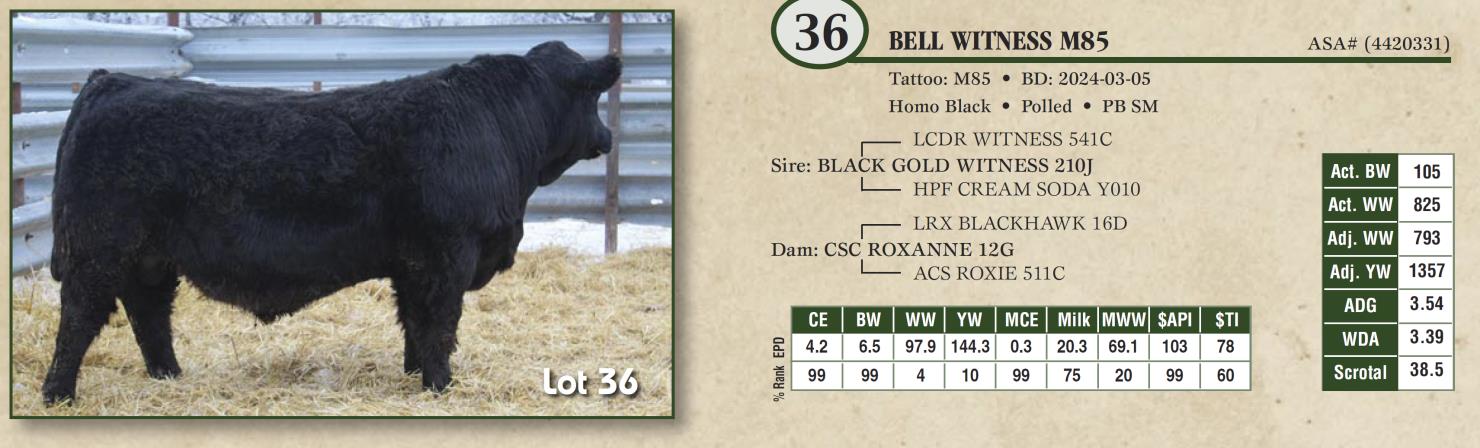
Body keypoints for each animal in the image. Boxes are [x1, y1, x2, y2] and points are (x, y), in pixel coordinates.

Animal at [40, 41, 621, 405]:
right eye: (594, 97)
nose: (609, 135)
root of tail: (111, 81)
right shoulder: (447, 253)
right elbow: (439, 324)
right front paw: (441, 386)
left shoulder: (412, 263)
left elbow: (414, 323)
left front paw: (414, 376)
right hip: (97, 249)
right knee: (79, 320)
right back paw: (58, 395)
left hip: (150, 259)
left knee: (150, 316)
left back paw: (170, 377)